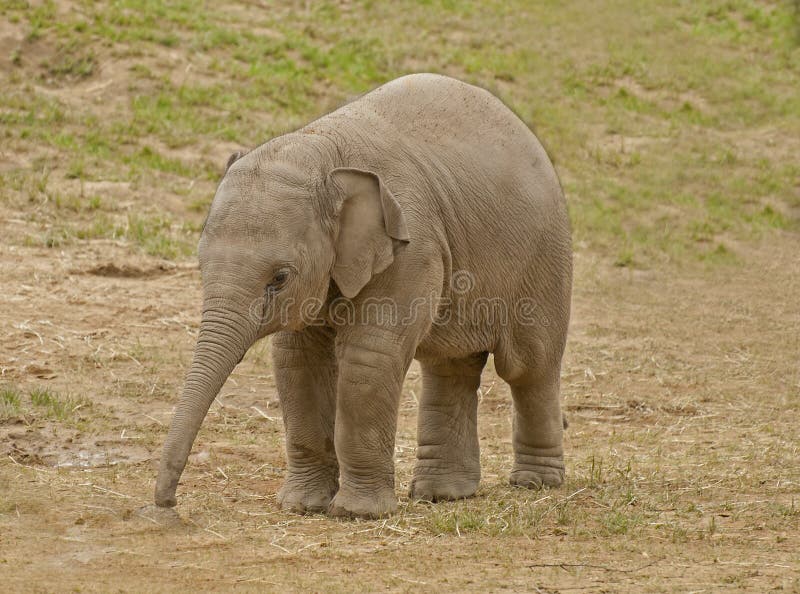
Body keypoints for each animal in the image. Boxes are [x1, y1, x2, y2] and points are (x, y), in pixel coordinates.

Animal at [154, 73, 572, 519]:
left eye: (279, 278)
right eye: (200, 266)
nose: (167, 505)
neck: (322, 149)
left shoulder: (412, 248)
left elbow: (369, 357)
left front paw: (357, 514)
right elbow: (297, 360)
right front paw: (303, 506)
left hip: (545, 260)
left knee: (529, 367)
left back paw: (534, 483)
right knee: (450, 365)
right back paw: (442, 494)